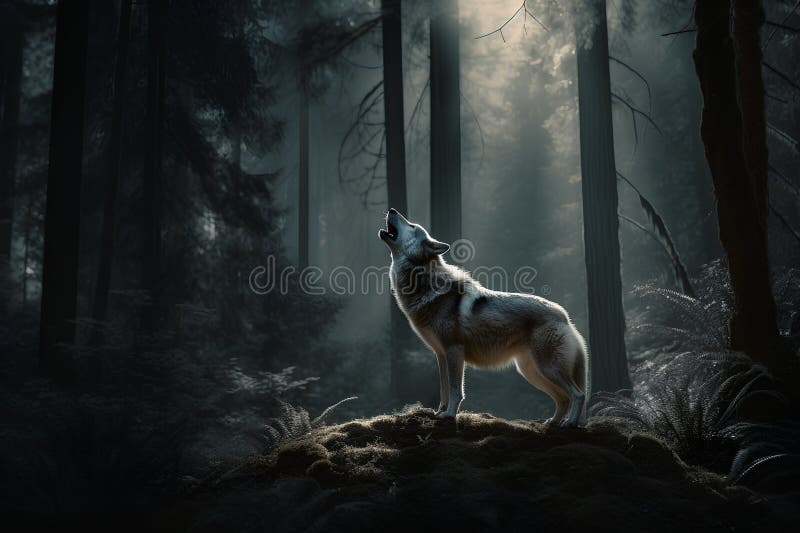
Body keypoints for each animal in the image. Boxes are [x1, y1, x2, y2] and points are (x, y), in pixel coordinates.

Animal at [379, 208, 588, 427]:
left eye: (412, 225)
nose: (392, 210)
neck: (425, 284)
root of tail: (565, 316)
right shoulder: (441, 354)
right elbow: (444, 390)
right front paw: (439, 413)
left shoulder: (454, 350)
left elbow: (455, 390)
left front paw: (449, 415)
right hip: (532, 372)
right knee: (563, 398)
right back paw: (552, 423)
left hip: (547, 369)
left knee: (578, 394)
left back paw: (571, 423)